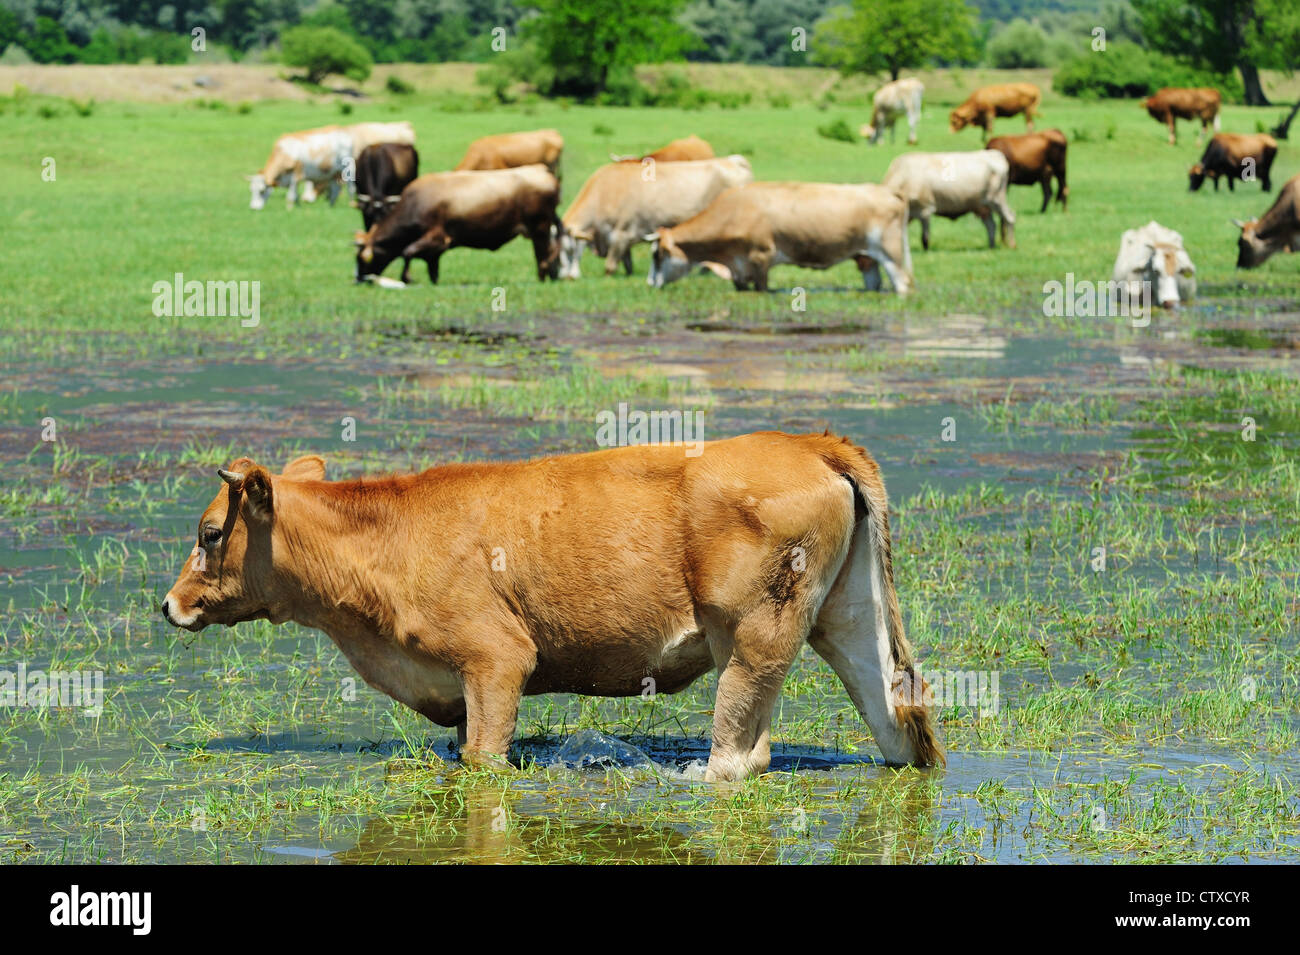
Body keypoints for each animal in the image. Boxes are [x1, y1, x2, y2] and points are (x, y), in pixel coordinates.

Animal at [160, 434, 943, 781]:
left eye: (209, 531)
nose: (169, 604)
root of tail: (805, 440)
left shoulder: (497, 659)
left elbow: (482, 758)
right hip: (848, 621)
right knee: (898, 719)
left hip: (754, 638)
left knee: (740, 756)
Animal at [353, 165, 561, 285]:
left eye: (361, 259)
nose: (359, 280)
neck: (415, 204)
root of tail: (542, 169)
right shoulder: (435, 250)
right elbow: (432, 269)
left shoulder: (437, 237)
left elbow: (408, 251)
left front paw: (407, 278)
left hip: (539, 228)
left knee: (544, 255)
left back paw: (542, 279)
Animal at [559, 155, 753, 279]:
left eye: (567, 250)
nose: (564, 277)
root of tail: (733, 161)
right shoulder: (623, 240)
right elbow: (628, 264)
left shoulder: (621, 234)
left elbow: (610, 266)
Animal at [648, 181, 913, 295]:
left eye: (658, 254)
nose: (649, 283)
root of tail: (886, 190)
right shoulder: (740, 268)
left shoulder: (761, 257)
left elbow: (762, 288)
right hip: (868, 258)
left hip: (891, 254)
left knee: (903, 283)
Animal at [883, 150, 1016, 250]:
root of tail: (995, 154)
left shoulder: (925, 209)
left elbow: (925, 237)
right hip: (982, 205)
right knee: (991, 224)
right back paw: (991, 246)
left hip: (996, 199)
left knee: (1009, 217)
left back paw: (1011, 245)